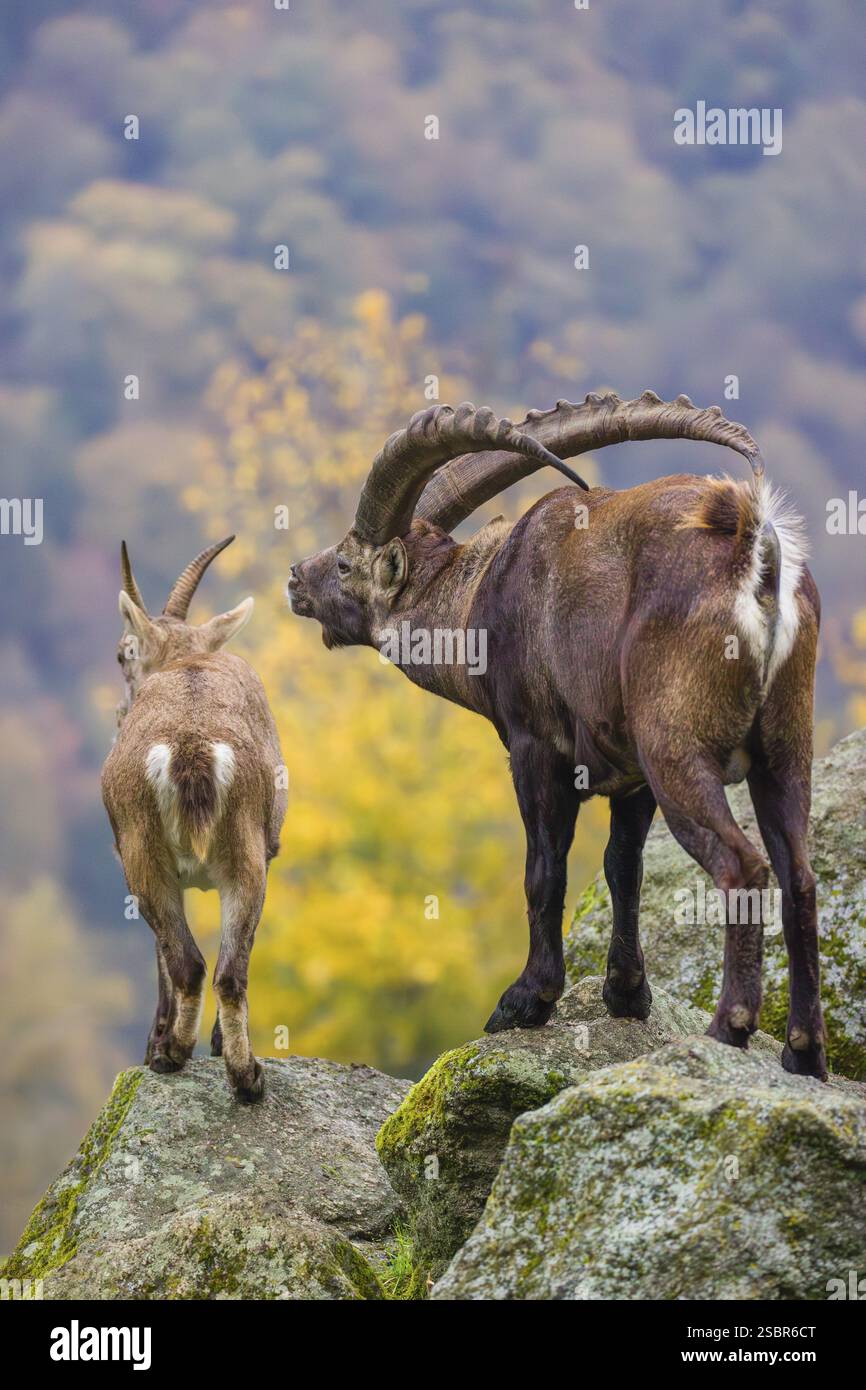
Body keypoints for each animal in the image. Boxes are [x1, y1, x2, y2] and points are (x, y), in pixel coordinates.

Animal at [102, 537, 287, 1101]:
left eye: (123, 653)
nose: (119, 713)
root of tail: (192, 746)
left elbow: (162, 956)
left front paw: (154, 1043)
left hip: (145, 849)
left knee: (191, 963)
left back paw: (173, 1054)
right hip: (247, 855)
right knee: (228, 970)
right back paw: (246, 1078)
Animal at [288, 392, 826, 1080]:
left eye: (345, 563)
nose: (296, 577)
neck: (481, 595)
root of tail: (756, 556)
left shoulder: (535, 748)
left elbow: (544, 869)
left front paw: (524, 1001)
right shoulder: (631, 776)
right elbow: (623, 868)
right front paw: (626, 994)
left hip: (677, 747)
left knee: (743, 865)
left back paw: (726, 1029)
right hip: (783, 748)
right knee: (800, 876)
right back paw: (804, 1053)